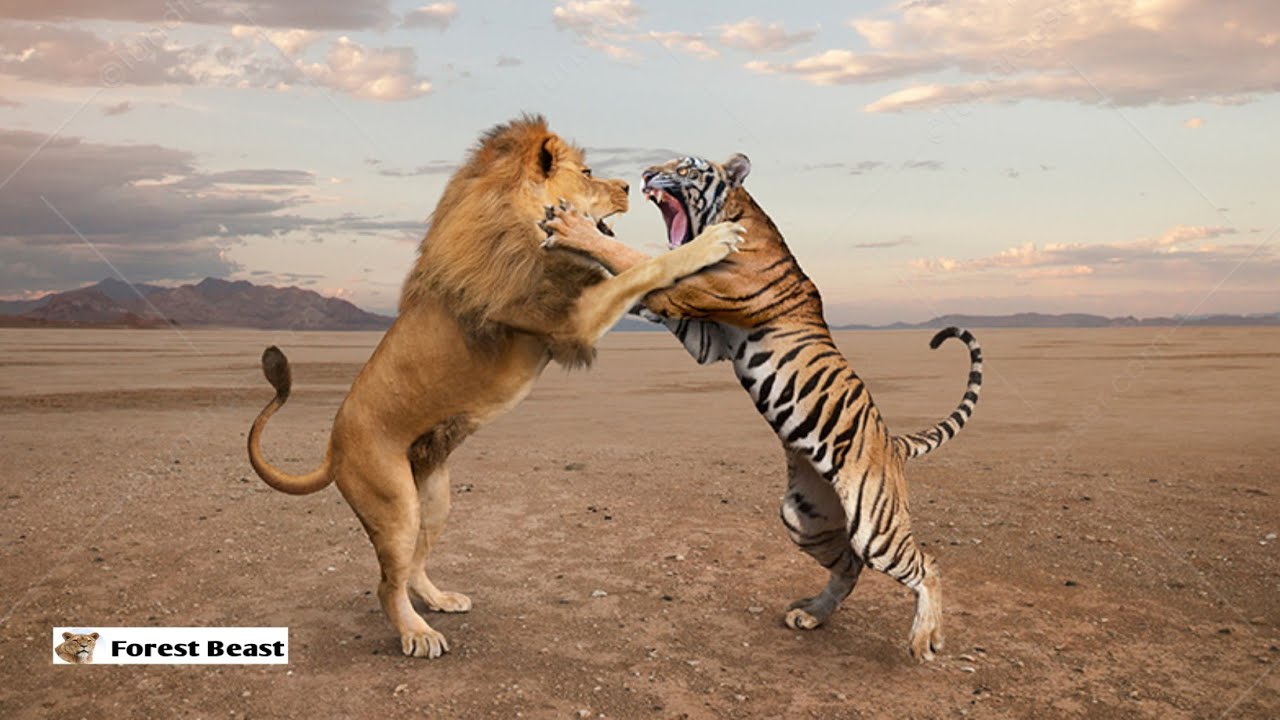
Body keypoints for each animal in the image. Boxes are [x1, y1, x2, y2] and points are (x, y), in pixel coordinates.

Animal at [247, 115, 744, 658]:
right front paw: (712, 241)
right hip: (393, 503)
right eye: (588, 173)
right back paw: (416, 633)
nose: (628, 187)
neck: (516, 218)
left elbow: (630, 264)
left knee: (413, 567)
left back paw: (439, 600)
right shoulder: (570, 318)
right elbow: (645, 266)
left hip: (435, 498)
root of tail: (333, 448)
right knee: (386, 582)